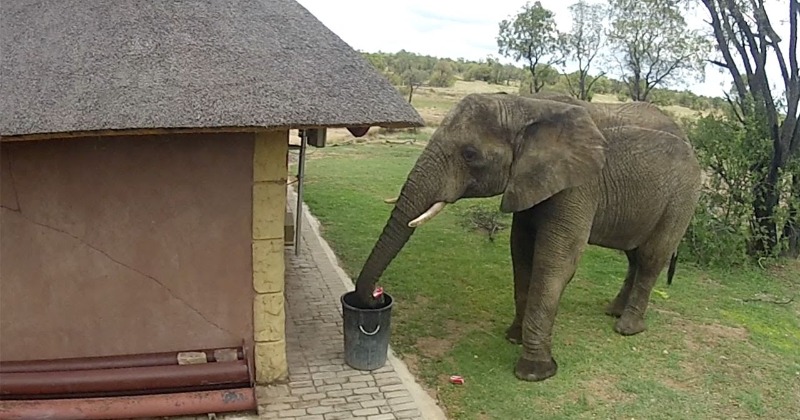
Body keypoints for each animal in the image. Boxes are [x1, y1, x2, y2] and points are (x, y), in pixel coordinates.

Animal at [353, 92, 703, 382]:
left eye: (470, 154)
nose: (377, 300)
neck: (525, 106)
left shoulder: (578, 185)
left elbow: (555, 262)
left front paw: (535, 373)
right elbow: (521, 253)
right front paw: (513, 338)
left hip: (683, 197)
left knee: (650, 257)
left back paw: (626, 329)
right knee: (633, 255)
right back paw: (613, 312)